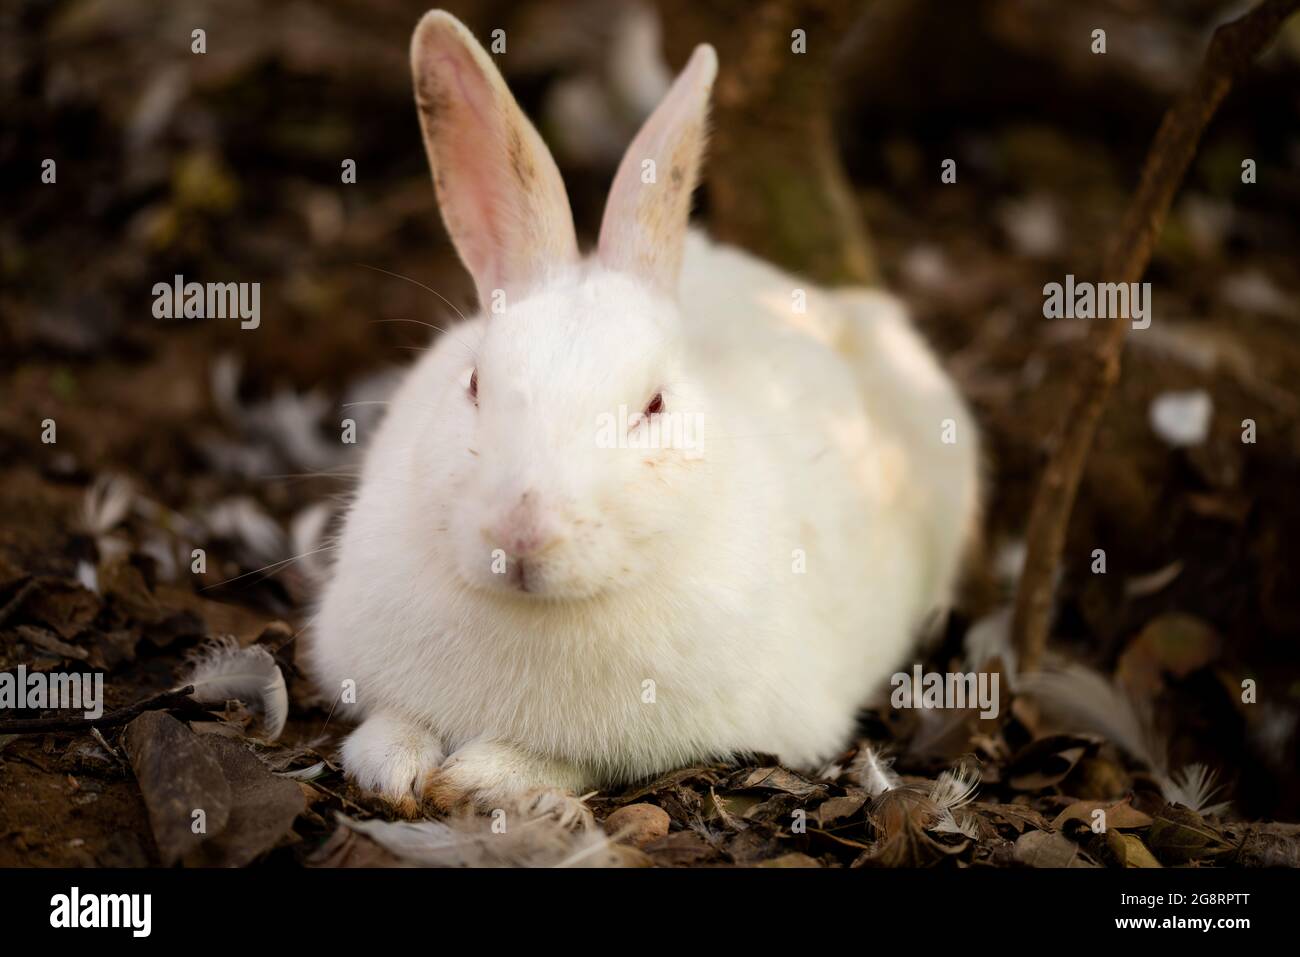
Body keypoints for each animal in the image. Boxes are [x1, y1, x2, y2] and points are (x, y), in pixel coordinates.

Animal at [307, 9, 981, 818]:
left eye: (653, 404)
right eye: (473, 382)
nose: (522, 536)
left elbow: (568, 760)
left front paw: (477, 777)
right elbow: (391, 718)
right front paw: (394, 770)